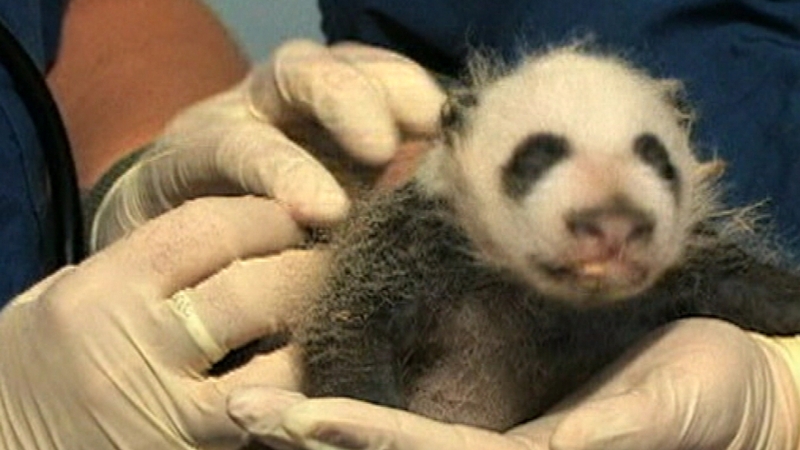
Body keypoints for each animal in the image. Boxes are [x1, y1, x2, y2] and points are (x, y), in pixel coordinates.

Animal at [294, 45, 800, 431]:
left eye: (658, 159)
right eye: (537, 157)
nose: (614, 224)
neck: (551, 298)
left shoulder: (675, 271)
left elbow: (738, 277)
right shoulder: (418, 243)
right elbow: (350, 320)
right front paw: (362, 406)